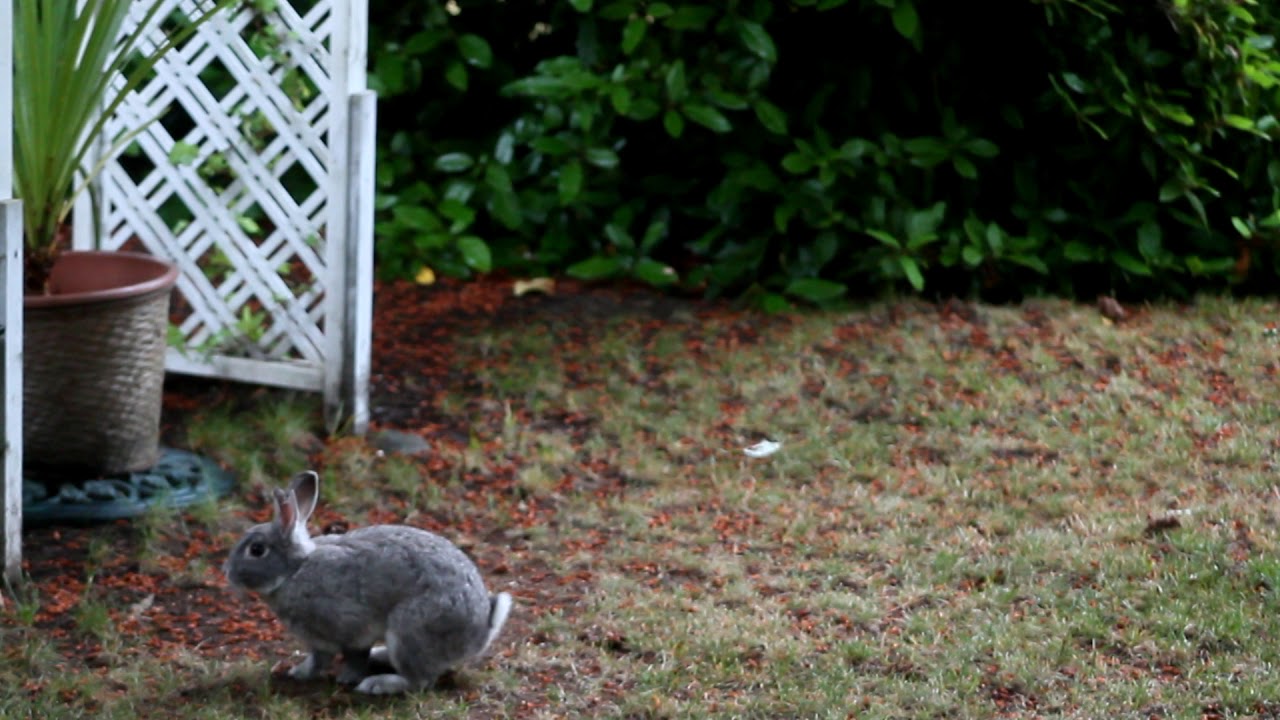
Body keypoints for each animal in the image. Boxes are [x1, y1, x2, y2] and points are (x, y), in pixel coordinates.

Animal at [223, 470, 513, 694]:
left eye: (256, 550)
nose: (227, 572)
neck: (294, 570)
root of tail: (478, 634)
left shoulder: (342, 629)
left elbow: (333, 657)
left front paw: (309, 673)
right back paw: (380, 656)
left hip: (410, 629)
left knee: (419, 681)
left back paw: (378, 684)